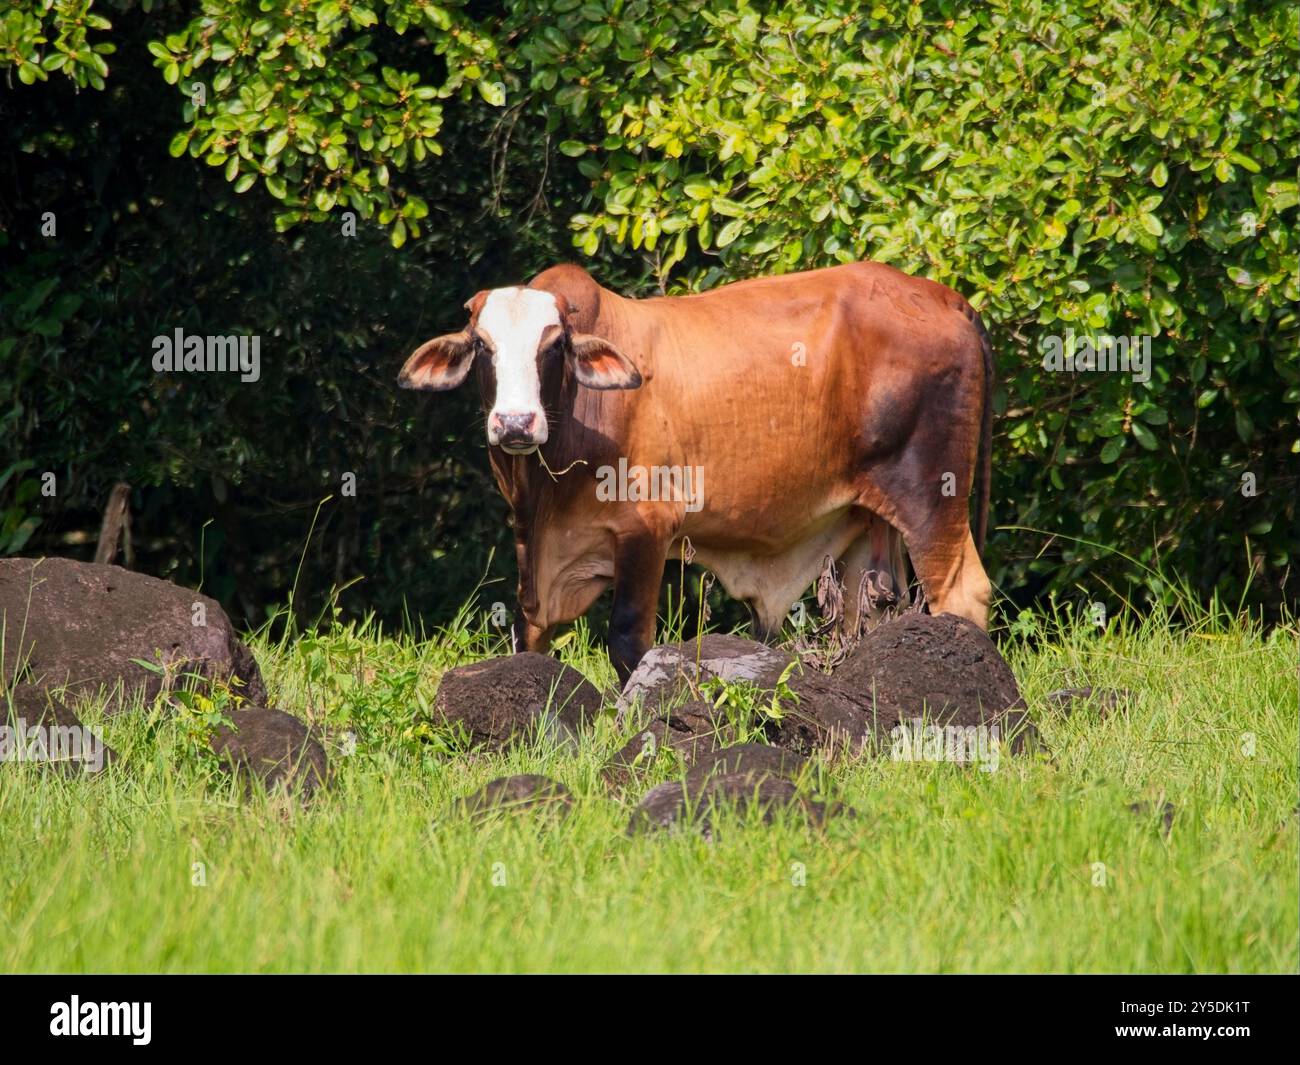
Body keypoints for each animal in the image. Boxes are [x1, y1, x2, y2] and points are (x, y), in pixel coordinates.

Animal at [399, 261, 993, 682]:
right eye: (482, 346)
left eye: (554, 345)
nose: (516, 422)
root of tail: (950, 299)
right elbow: (530, 640)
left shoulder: (645, 531)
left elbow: (628, 641)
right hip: (865, 525)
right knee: (865, 609)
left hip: (932, 498)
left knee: (963, 595)